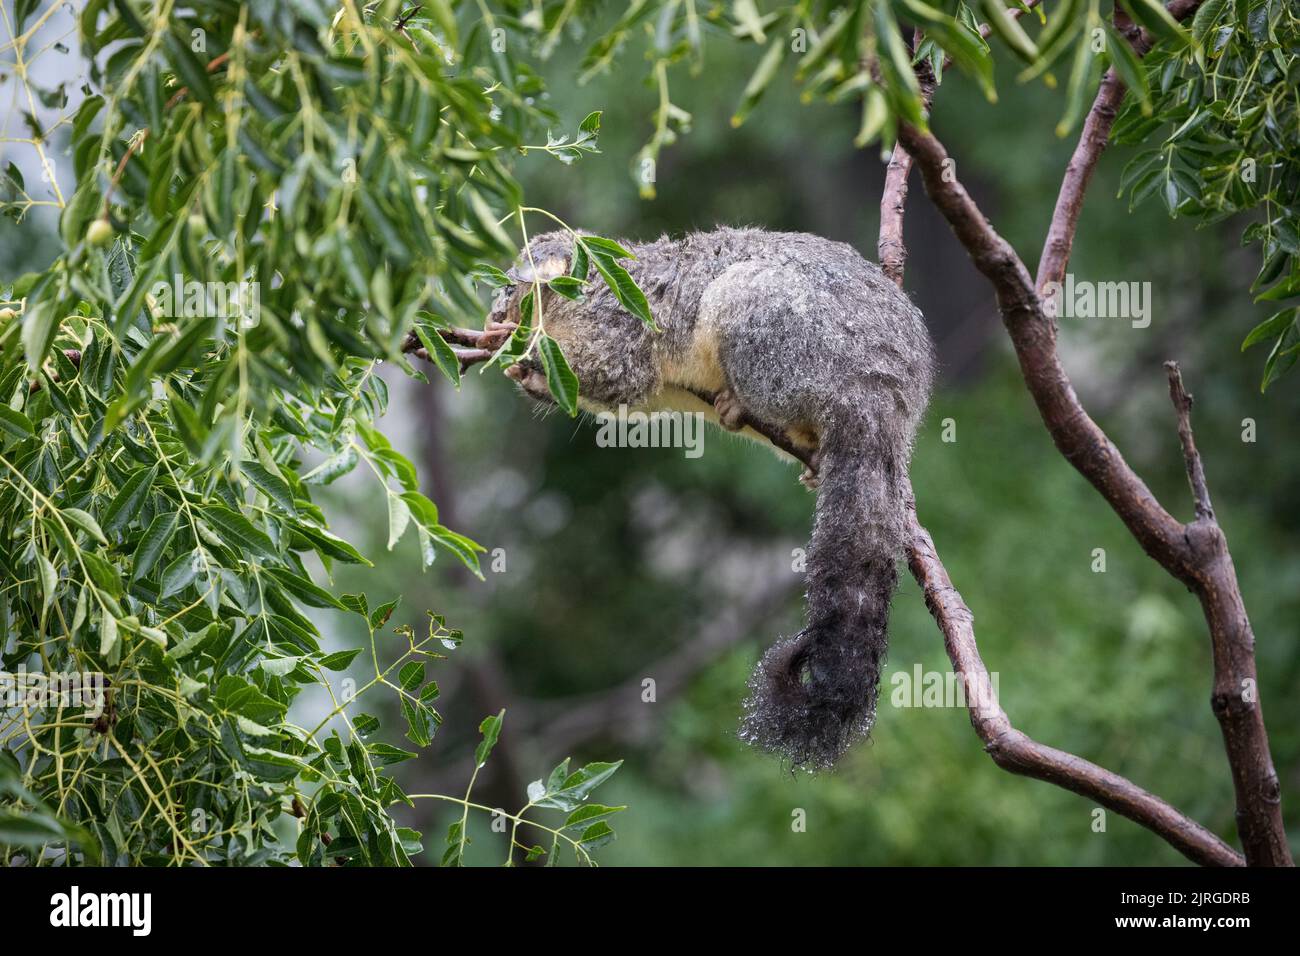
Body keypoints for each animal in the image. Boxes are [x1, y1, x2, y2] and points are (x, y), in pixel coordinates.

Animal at [490, 226, 935, 769]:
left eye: (509, 288)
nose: (493, 315)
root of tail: (880, 383)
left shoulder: (615, 319)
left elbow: (619, 374)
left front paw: (528, 363)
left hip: (780, 336)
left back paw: (741, 404)